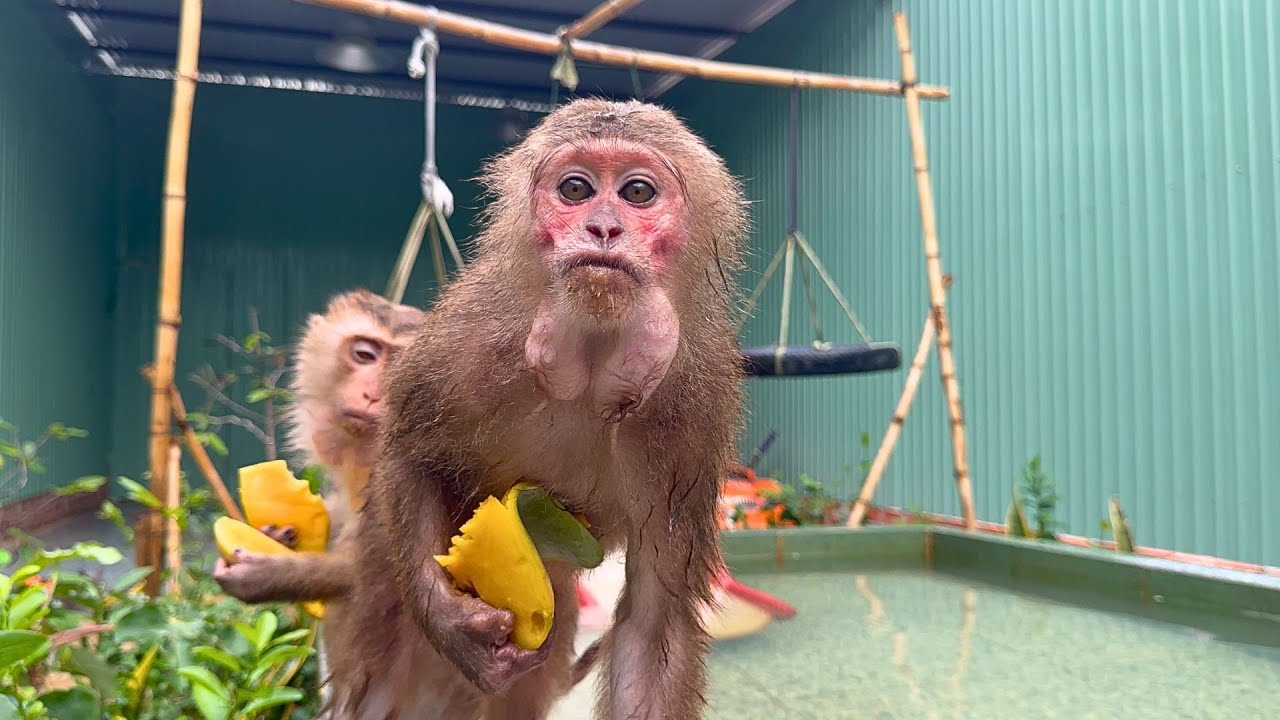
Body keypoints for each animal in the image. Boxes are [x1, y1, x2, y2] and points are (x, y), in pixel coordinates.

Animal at [312, 97, 751, 720]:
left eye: (638, 193)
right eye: (575, 189)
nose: (603, 227)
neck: (590, 366)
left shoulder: (697, 409)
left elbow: (651, 622)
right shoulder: (472, 337)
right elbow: (409, 454)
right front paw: (451, 624)